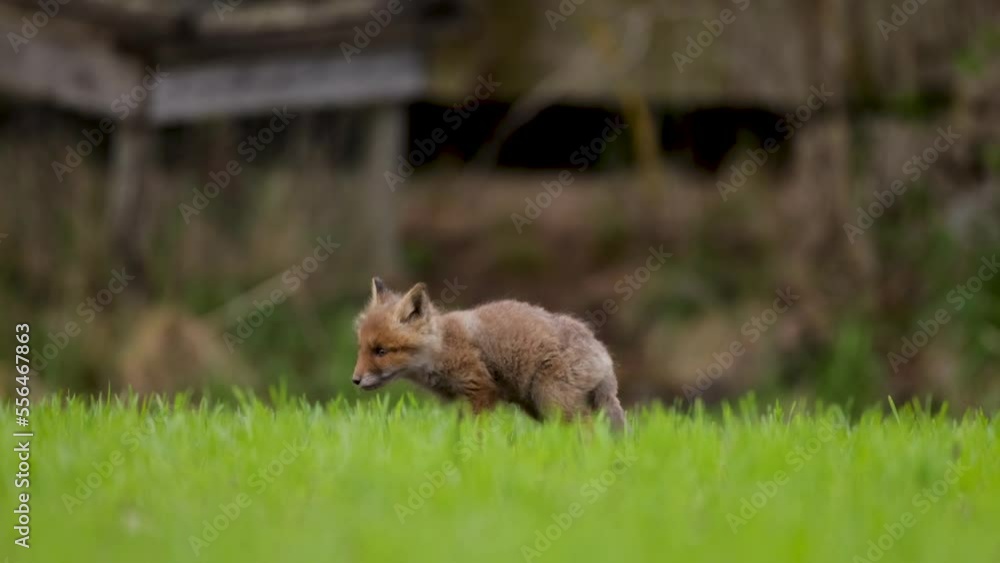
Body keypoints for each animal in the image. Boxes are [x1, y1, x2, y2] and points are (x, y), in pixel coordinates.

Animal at [352, 277, 627, 431]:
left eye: (381, 351)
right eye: (362, 349)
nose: (354, 380)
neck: (442, 349)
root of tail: (602, 353)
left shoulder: (480, 392)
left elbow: (477, 435)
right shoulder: (460, 402)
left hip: (552, 400)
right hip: (539, 407)